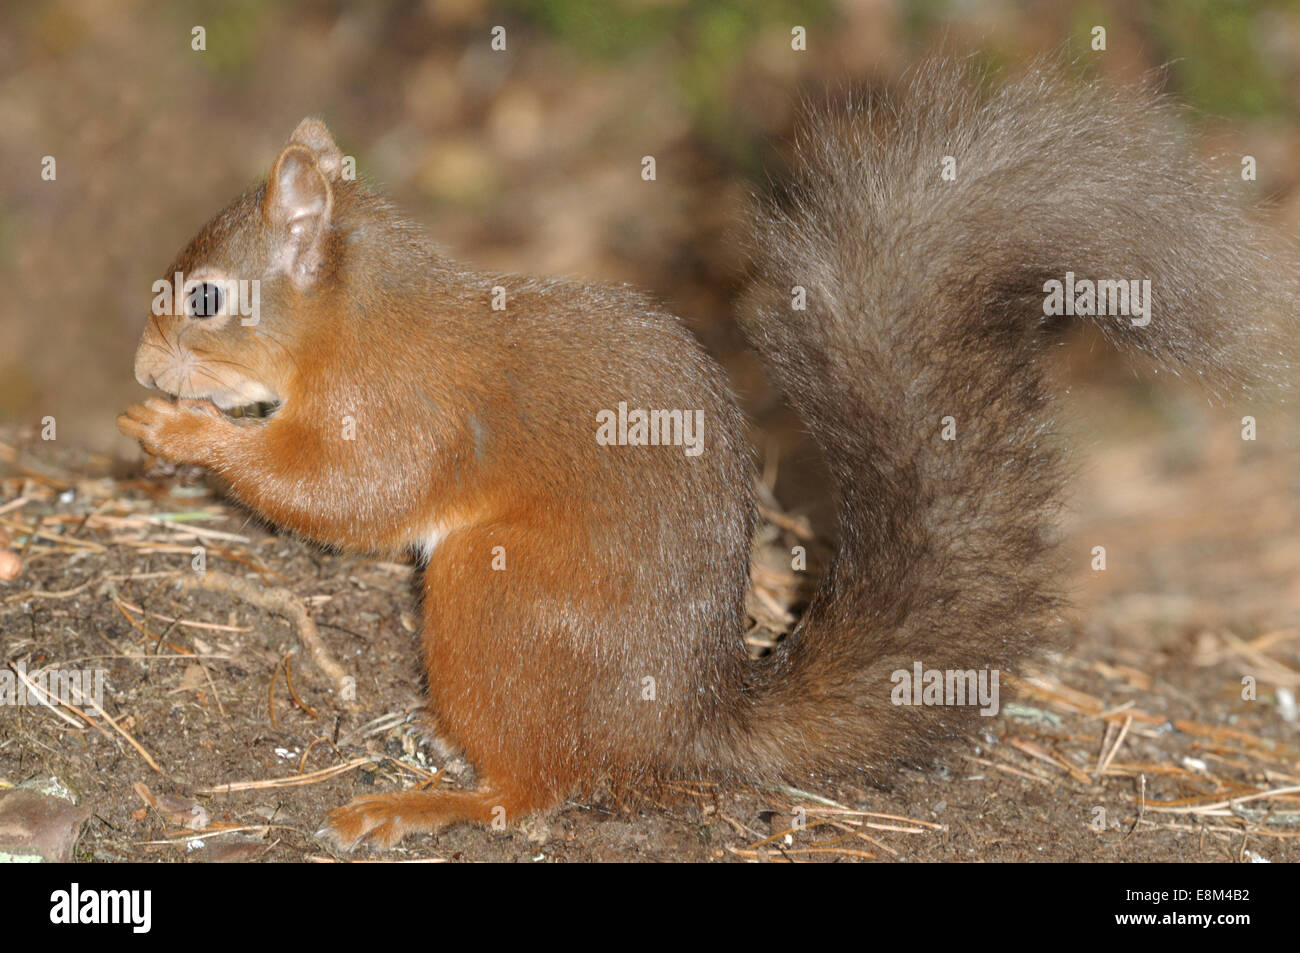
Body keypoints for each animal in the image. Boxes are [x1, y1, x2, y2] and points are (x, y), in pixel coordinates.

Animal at [118, 60, 1295, 850]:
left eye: (208, 300)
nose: (138, 362)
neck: (357, 321)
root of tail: (682, 723)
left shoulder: (402, 407)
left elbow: (343, 493)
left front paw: (179, 433)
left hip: (489, 603)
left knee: (532, 790)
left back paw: (427, 797)